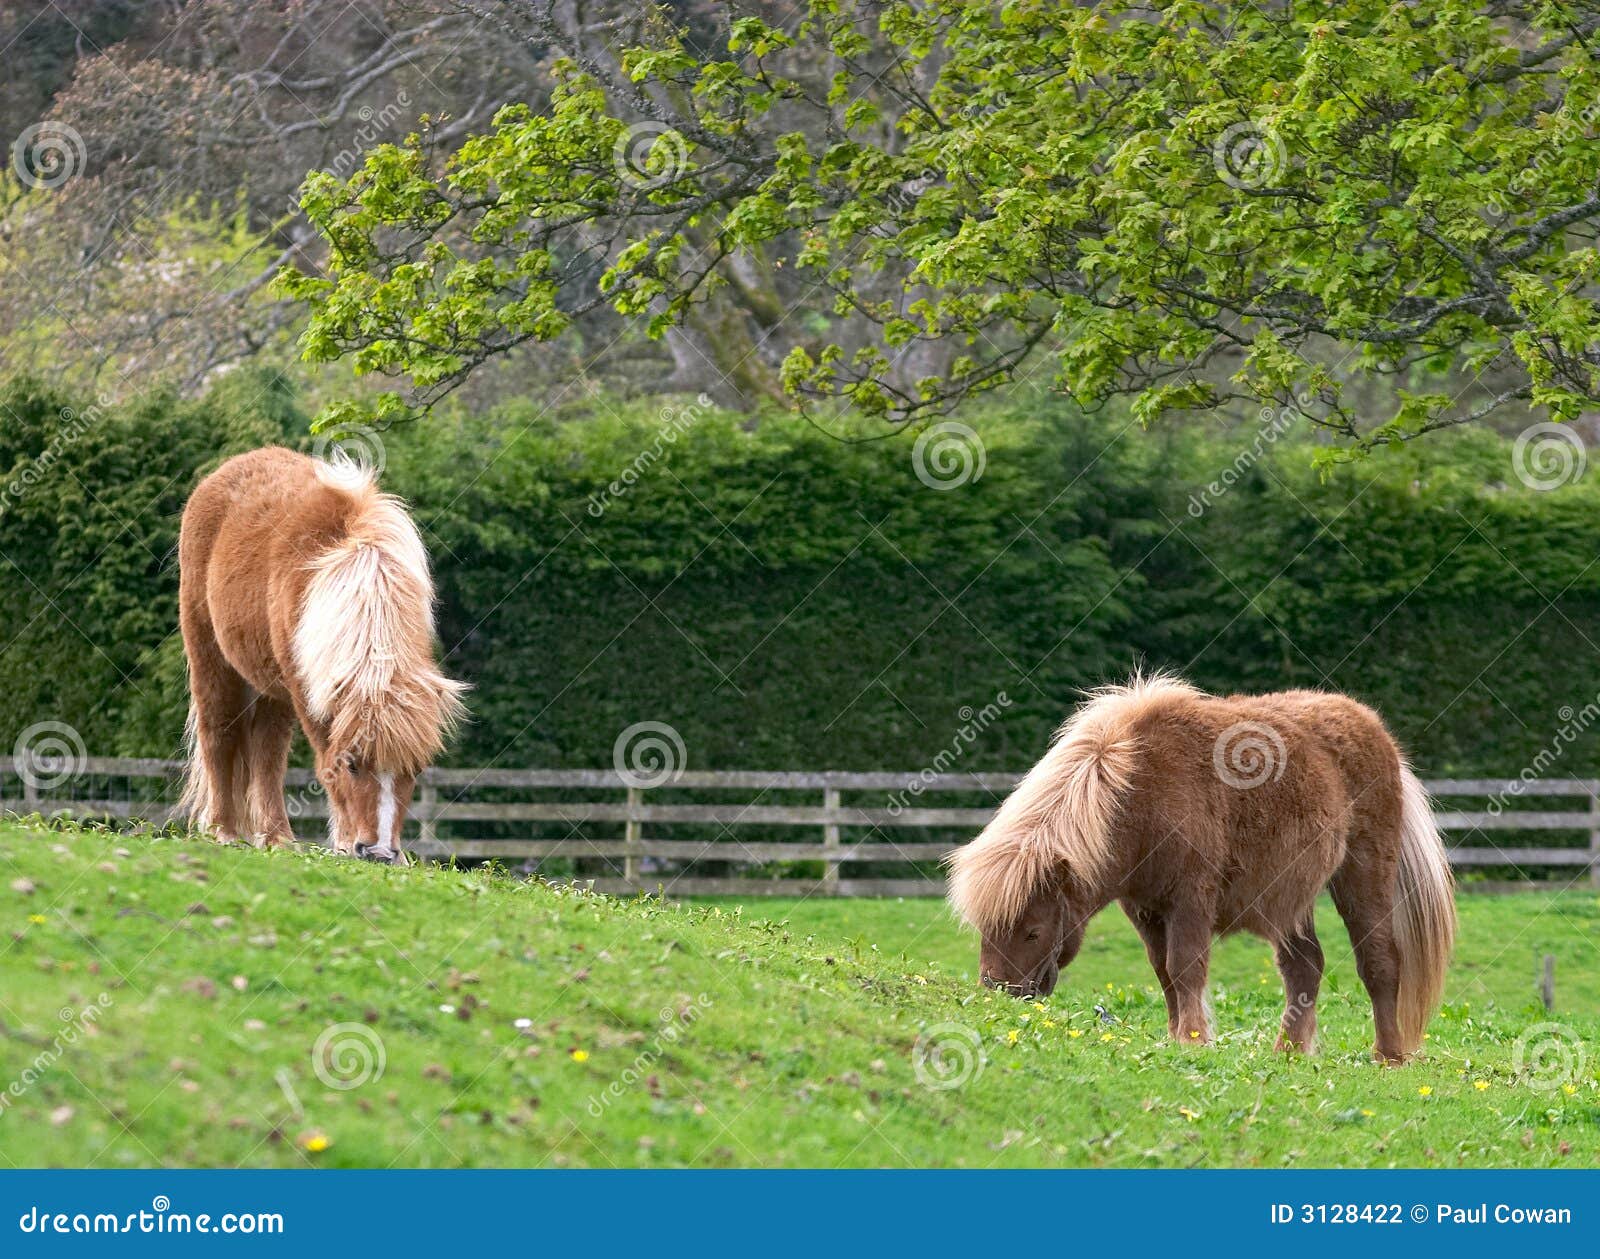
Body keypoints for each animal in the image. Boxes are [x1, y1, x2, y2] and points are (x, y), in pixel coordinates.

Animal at [177, 447, 466, 864]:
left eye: (416, 769)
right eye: (353, 764)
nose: (380, 852)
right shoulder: (308, 693)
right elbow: (325, 760)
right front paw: (345, 841)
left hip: (270, 684)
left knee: (266, 753)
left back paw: (277, 837)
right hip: (211, 654)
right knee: (219, 733)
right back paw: (224, 831)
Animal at [946, 674, 1456, 1063]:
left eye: (1032, 931)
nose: (1001, 993)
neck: (1141, 793)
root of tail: (1374, 729)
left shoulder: (1190, 899)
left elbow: (1185, 966)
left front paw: (1194, 1040)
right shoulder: (1144, 908)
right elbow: (1163, 971)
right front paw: (1177, 1037)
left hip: (1363, 874)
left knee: (1379, 963)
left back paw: (1388, 1056)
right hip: (1289, 899)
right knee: (1305, 969)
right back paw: (1287, 1053)